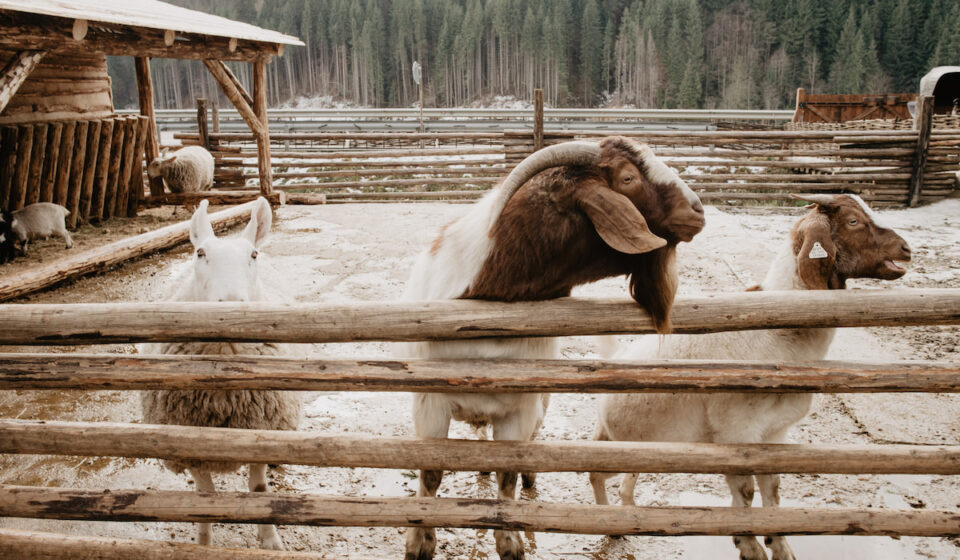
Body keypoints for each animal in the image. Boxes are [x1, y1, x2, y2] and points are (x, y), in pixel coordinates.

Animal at [139, 198, 300, 550]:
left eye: (253, 255)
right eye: (200, 253)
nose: (231, 304)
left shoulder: (261, 429)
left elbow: (258, 489)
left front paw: (270, 540)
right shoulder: (190, 445)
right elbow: (205, 495)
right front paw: (203, 542)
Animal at [402, 136, 706, 560]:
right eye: (628, 178)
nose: (697, 210)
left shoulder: (518, 409)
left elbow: (508, 474)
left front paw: (511, 543)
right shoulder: (430, 403)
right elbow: (430, 473)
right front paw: (419, 543)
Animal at [589, 193, 911, 560]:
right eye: (854, 222)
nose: (906, 250)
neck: (779, 337)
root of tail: (615, 359)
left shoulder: (773, 433)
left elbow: (772, 488)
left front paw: (779, 546)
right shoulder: (735, 431)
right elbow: (744, 492)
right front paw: (749, 546)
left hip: (643, 445)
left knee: (624, 475)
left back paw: (629, 513)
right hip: (619, 442)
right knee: (594, 471)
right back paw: (610, 524)